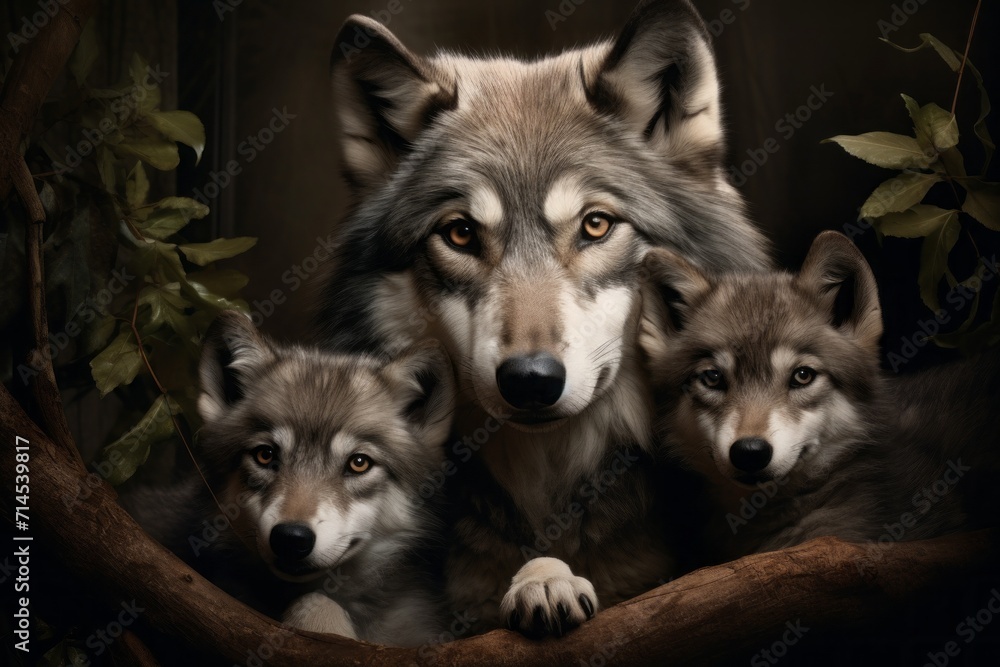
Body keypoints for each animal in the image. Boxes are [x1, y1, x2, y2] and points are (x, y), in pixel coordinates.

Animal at [317, 0, 772, 635]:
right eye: (460, 233)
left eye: (596, 225)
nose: (530, 380)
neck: (546, 490)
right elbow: (321, 609)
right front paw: (544, 582)